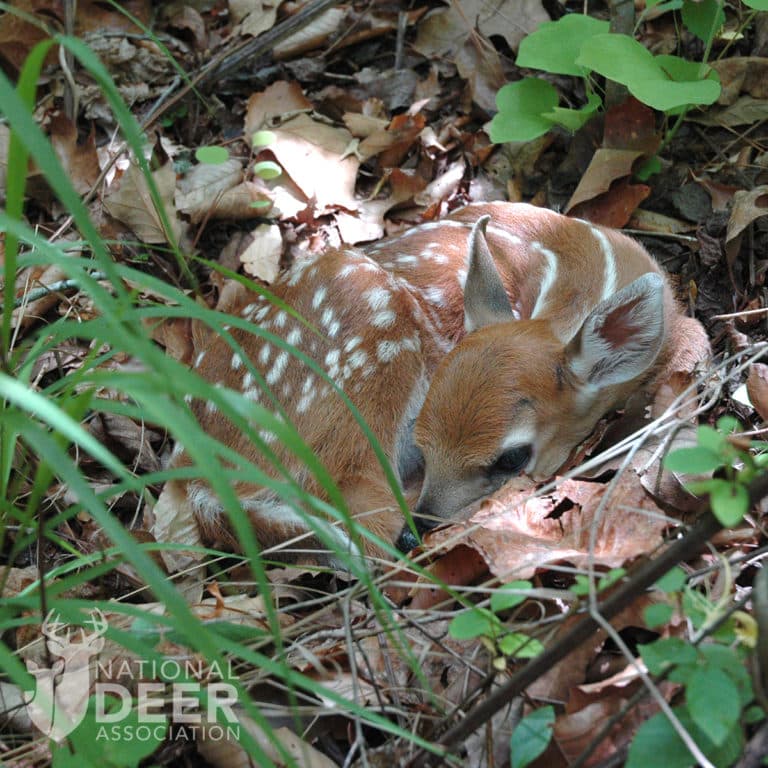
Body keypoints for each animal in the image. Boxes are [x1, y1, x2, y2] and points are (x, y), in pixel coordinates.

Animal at [161, 202, 707, 563]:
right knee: (360, 513)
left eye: (511, 457)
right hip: (368, 332)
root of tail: (197, 476)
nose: (421, 527)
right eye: (423, 442)